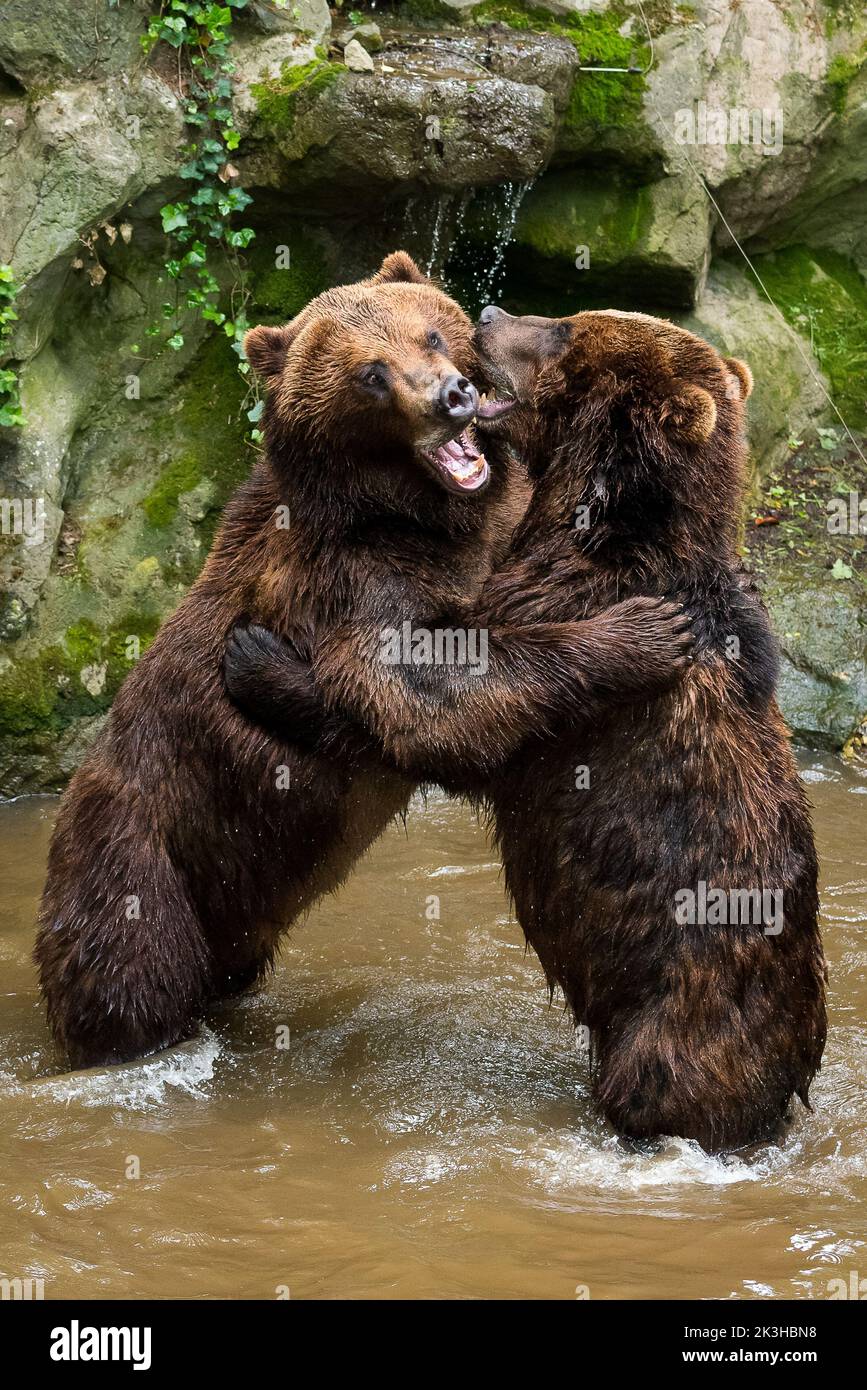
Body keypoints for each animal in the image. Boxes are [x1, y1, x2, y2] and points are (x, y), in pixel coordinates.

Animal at [36, 256, 694, 1069]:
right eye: (371, 374)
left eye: (432, 332)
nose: (452, 395)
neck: (421, 513)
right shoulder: (354, 580)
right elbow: (422, 687)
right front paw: (641, 632)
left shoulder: (493, 527)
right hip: (135, 865)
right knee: (133, 976)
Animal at [224, 304, 827, 1153]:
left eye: (566, 330)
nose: (489, 313)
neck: (595, 526)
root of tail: (787, 1084)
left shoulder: (557, 625)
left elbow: (450, 724)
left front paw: (260, 660)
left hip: (680, 1024)